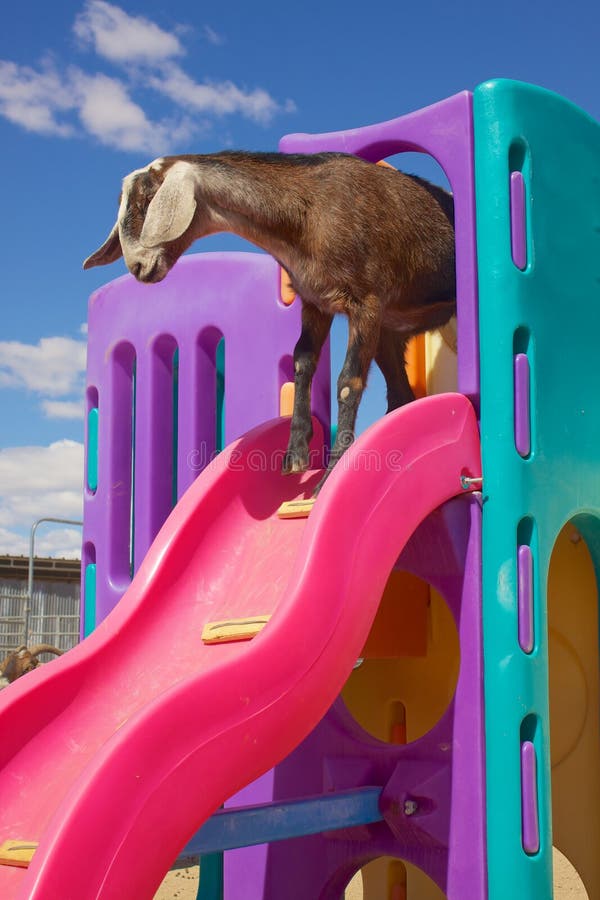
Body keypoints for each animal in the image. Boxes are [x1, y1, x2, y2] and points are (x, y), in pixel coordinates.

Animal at [84, 152, 456, 489]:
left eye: (148, 200)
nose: (138, 267)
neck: (309, 214)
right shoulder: (315, 302)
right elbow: (302, 361)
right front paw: (295, 455)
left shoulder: (367, 302)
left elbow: (348, 382)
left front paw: (330, 475)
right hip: (390, 332)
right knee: (400, 392)